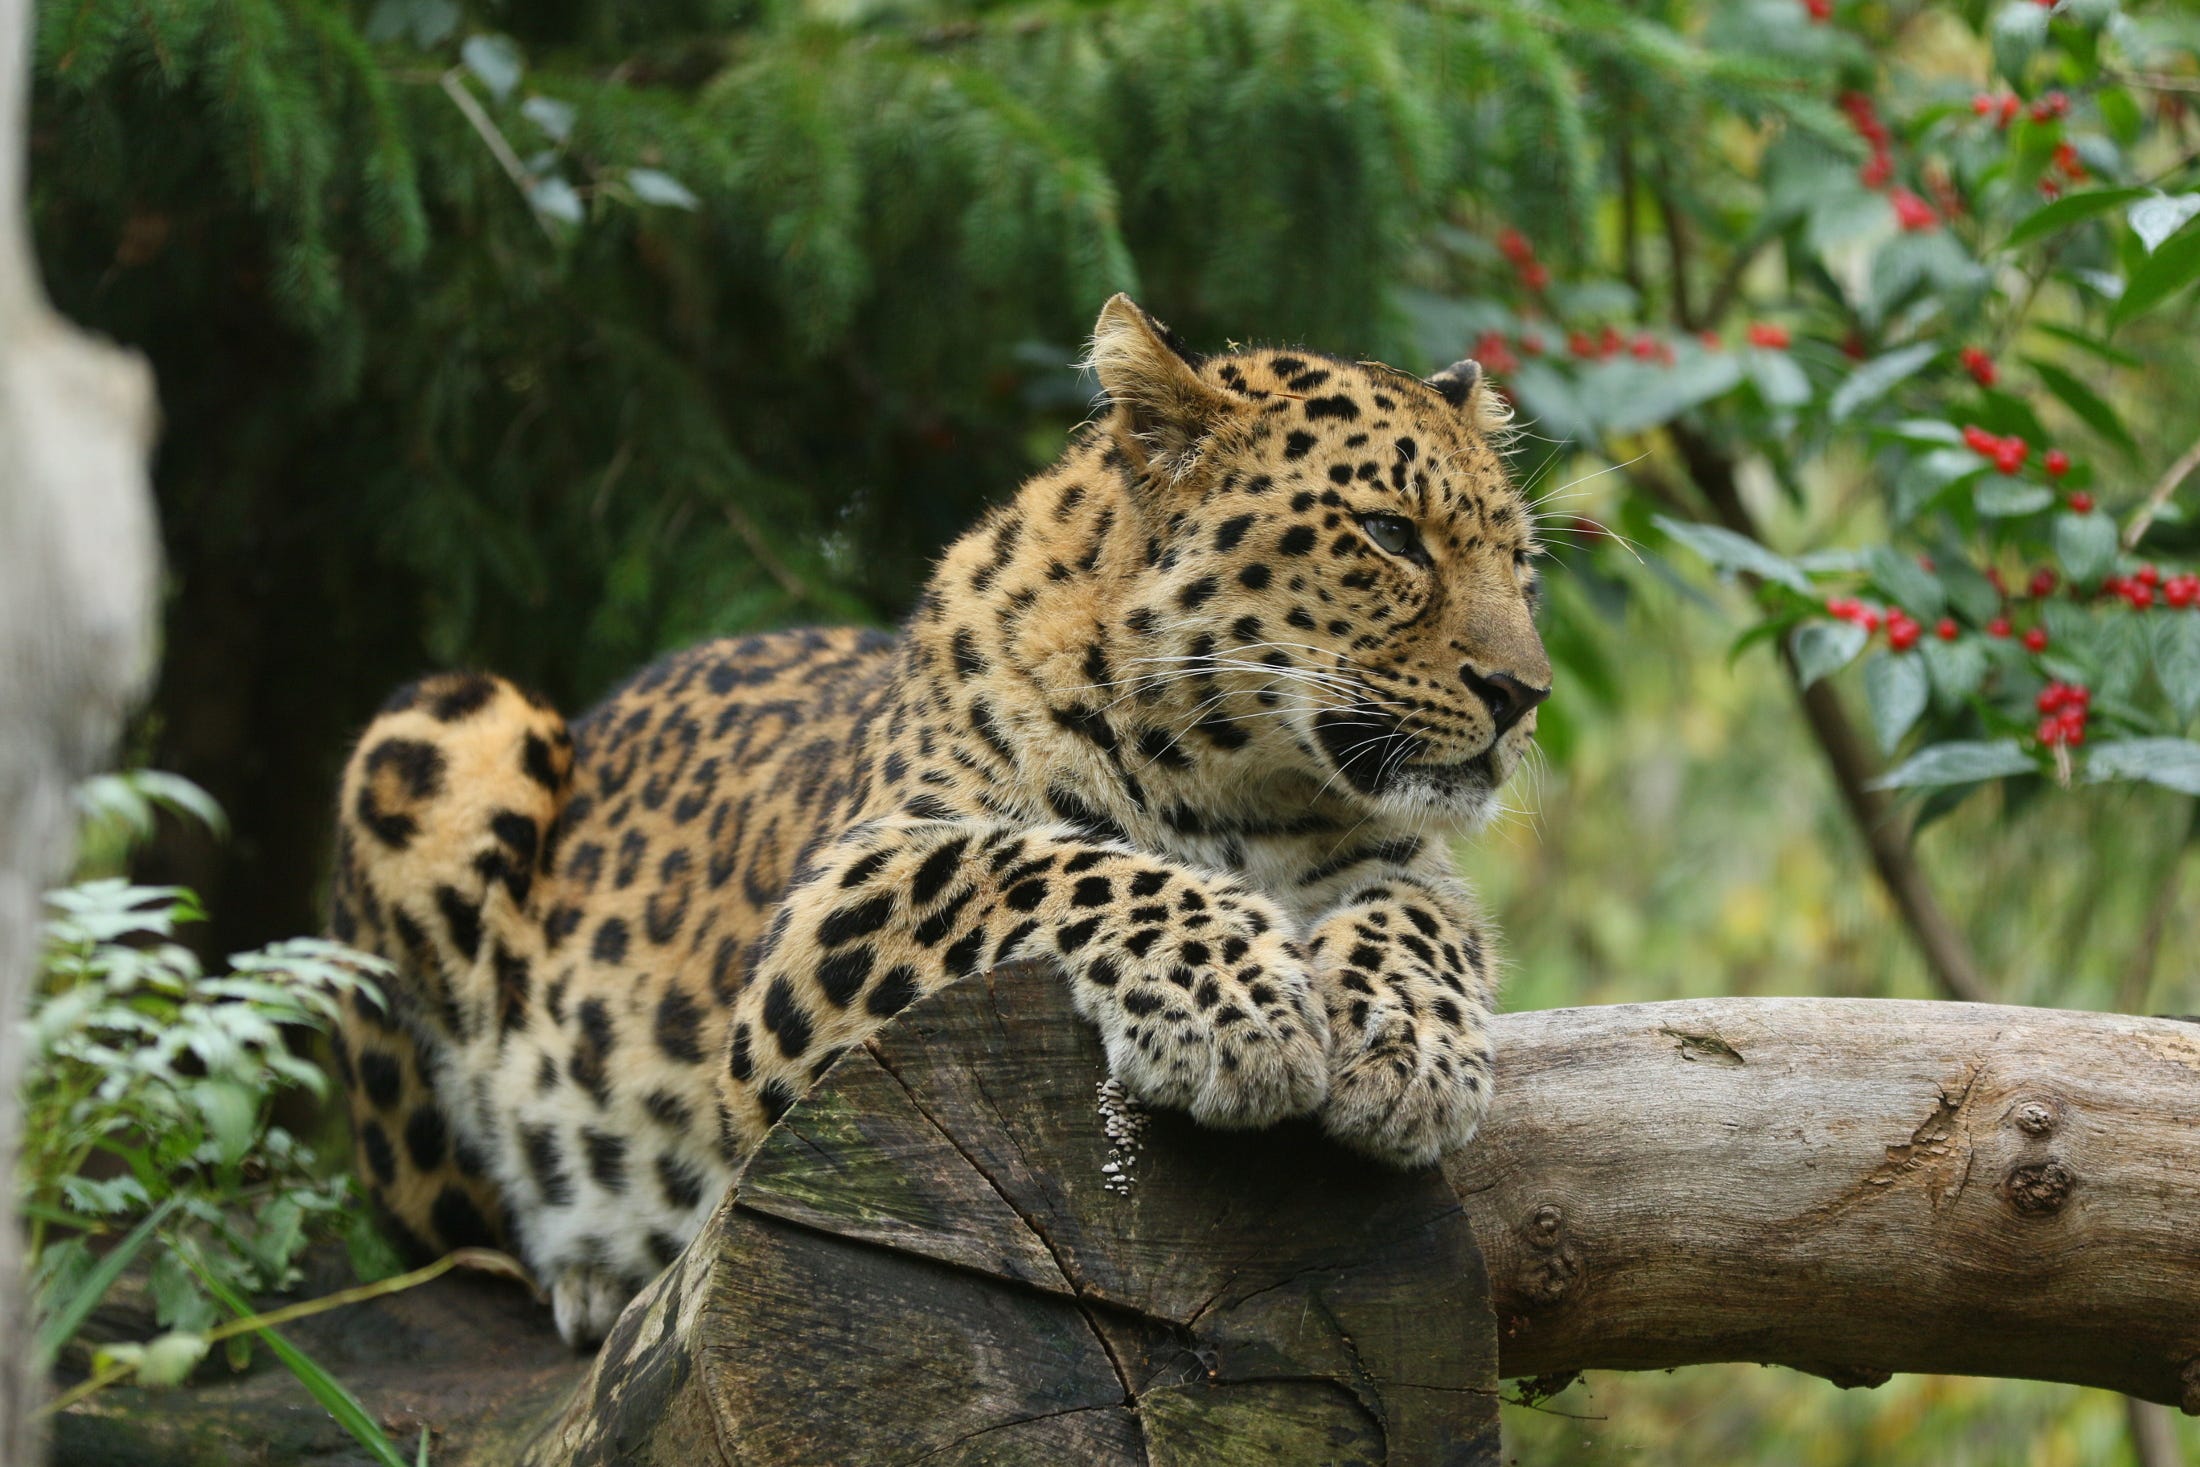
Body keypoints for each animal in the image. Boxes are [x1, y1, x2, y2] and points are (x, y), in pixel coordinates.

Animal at [325, 295, 1551, 1347]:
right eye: (1390, 534)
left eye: (1521, 567)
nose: (1523, 693)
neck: (1240, 783)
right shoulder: (835, 909)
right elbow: (1056, 864)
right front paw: (1235, 1010)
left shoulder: (1403, 862)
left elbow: (1421, 920)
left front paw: (1413, 1053)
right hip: (438, 734)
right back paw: (590, 1270)